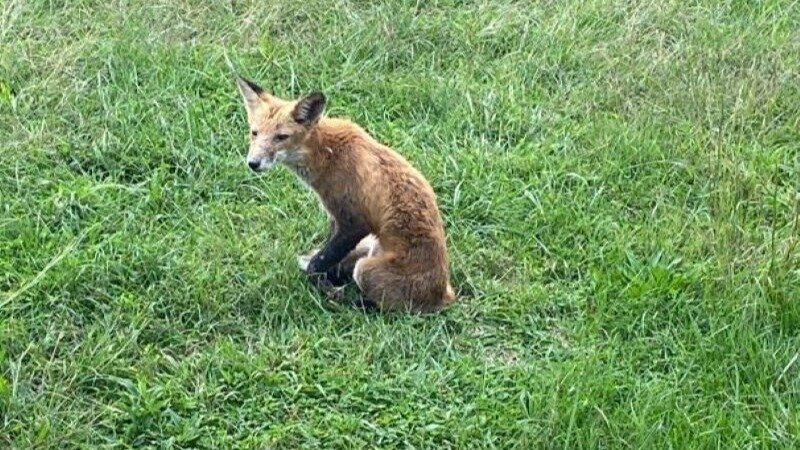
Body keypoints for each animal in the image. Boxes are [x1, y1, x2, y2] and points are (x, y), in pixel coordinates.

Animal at [234, 75, 456, 313]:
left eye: (281, 137)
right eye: (254, 132)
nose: (253, 163)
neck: (328, 153)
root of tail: (445, 294)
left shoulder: (354, 222)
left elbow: (318, 262)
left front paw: (326, 290)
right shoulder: (336, 218)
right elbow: (324, 257)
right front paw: (326, 280)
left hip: (366, 269)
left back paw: (356, 304)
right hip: (370, 246)